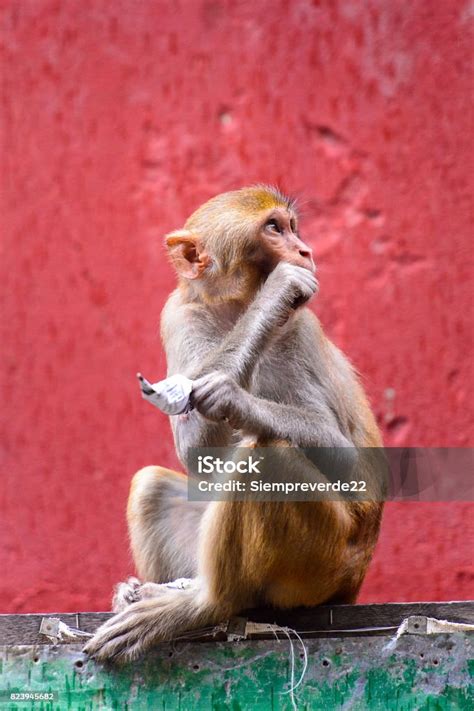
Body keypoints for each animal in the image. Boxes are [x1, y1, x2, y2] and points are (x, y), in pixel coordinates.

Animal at [84, 185, 385, 663]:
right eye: (273, 229)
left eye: (291, 227)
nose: (305, 250)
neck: (234, 308)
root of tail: (353, 581)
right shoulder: (179, 315)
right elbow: (195, 450)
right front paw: (275, 292)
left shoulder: (299, 329)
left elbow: (347, 460)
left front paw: (232, 396)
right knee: (152, 484)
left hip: (323, 568)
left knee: (271, 459)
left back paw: (203, 603)